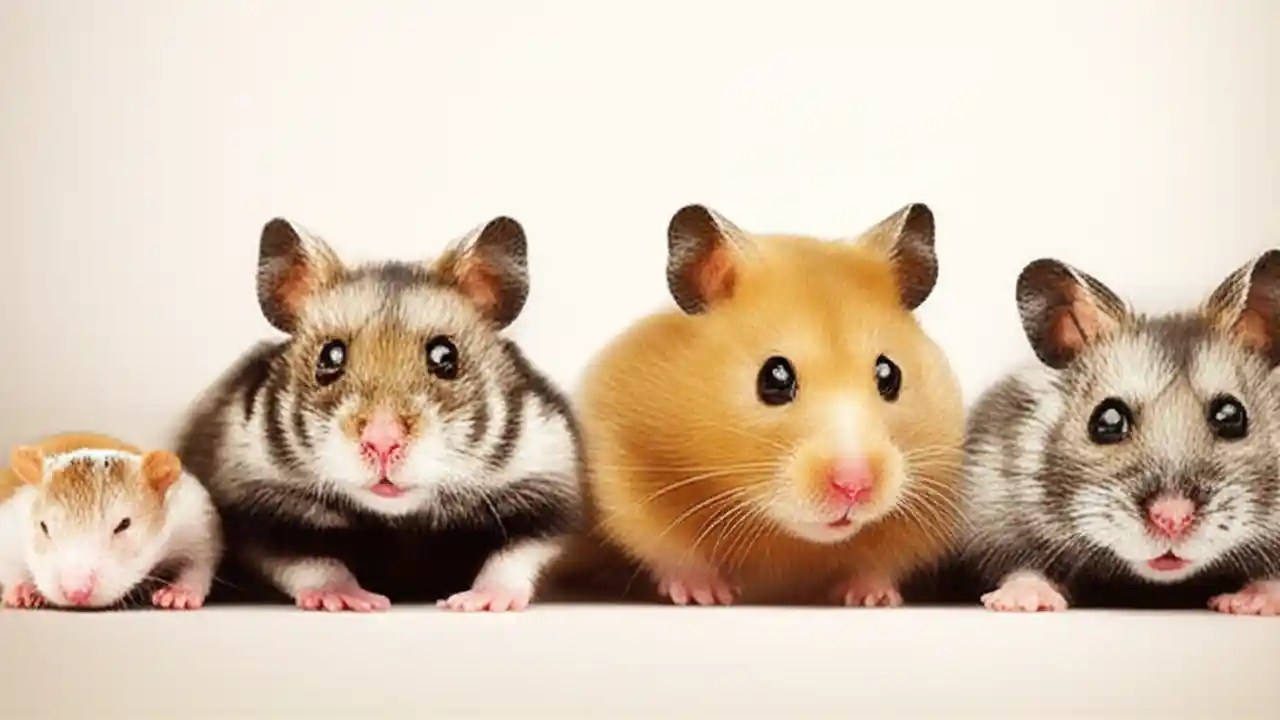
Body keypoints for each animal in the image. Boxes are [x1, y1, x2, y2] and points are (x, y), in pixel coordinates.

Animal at [0, 432, 222, 610]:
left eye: (124, 525)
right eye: (44, 527)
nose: (76, 593)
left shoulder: (191, 516)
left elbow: (200, 556)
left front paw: (179, 593)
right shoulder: (13, 517)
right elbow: (9, 558)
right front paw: (22, 589)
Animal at [176, 216, 582, 612]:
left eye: (445, 356)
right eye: (330, 357)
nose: (382, 443)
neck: (397, 518)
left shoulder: (547, 491)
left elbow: (515, 556)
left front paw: (476, 603)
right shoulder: (260, 510)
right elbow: (312, 562)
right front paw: (353, 601)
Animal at [566, 203, 965, 606]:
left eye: (888, 374)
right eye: (774, 378)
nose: (855, 487)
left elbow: (882, 561)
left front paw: (873, 597)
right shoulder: (624, 459)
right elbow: (667, 547)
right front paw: (707, 595)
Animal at [961, 252, 1280, 614]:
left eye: (1231, 416)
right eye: (1108, 421)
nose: (1172, 519)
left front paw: (1248, 604)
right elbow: (1021, 564)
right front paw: (1022, 603)